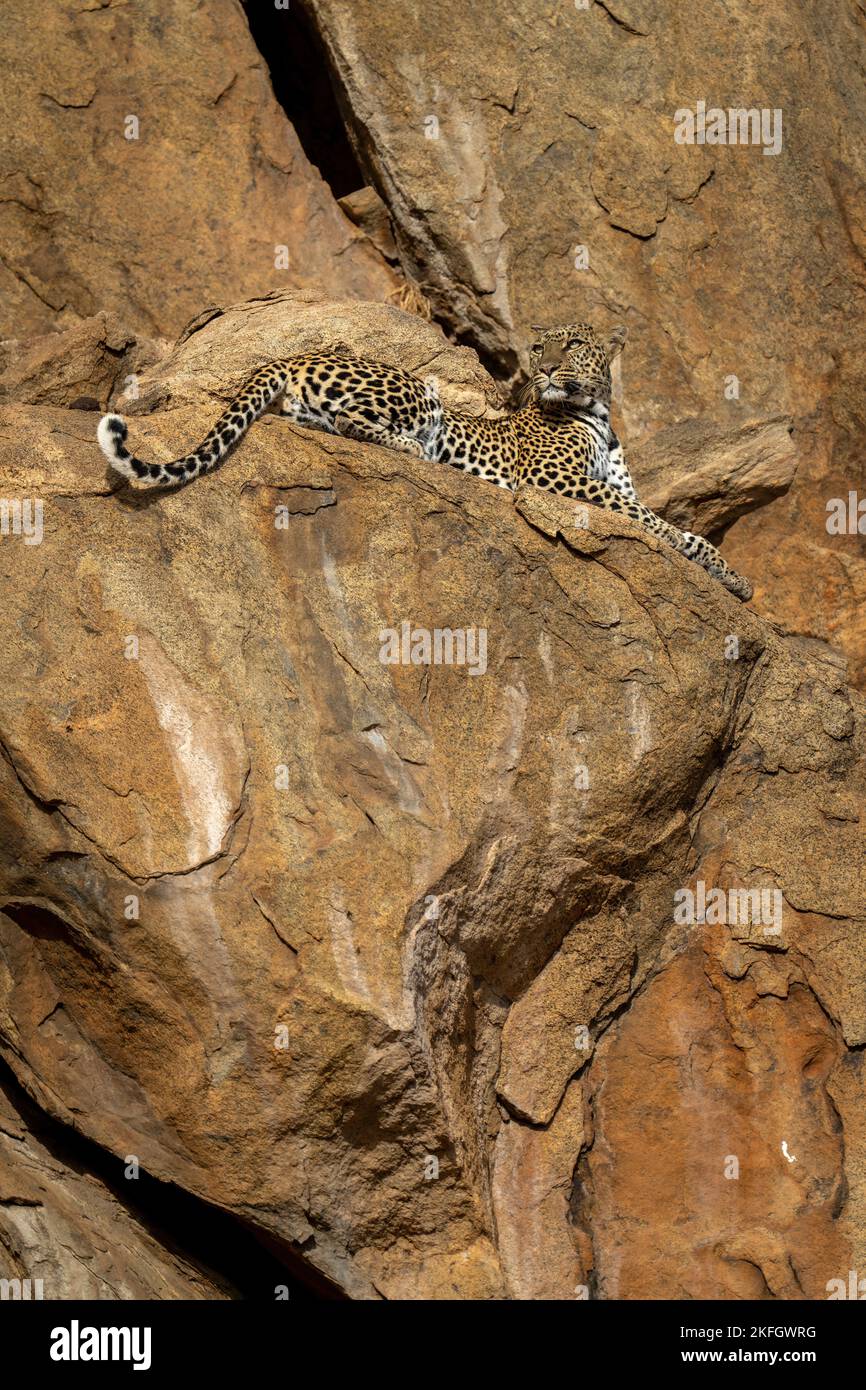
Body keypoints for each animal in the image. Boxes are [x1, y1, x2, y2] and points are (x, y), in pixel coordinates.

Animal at [97, 325, 752, 601]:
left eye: (574, 345)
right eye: (541, 344)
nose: (543, 367)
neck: (598, 413)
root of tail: (293, 353)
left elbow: (657, 517)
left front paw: (732, 577)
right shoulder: (552, 477)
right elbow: (662, 525)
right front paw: (714, 566)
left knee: (319, 419)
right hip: (419, 391)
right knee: (355, 421)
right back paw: (421, 452)